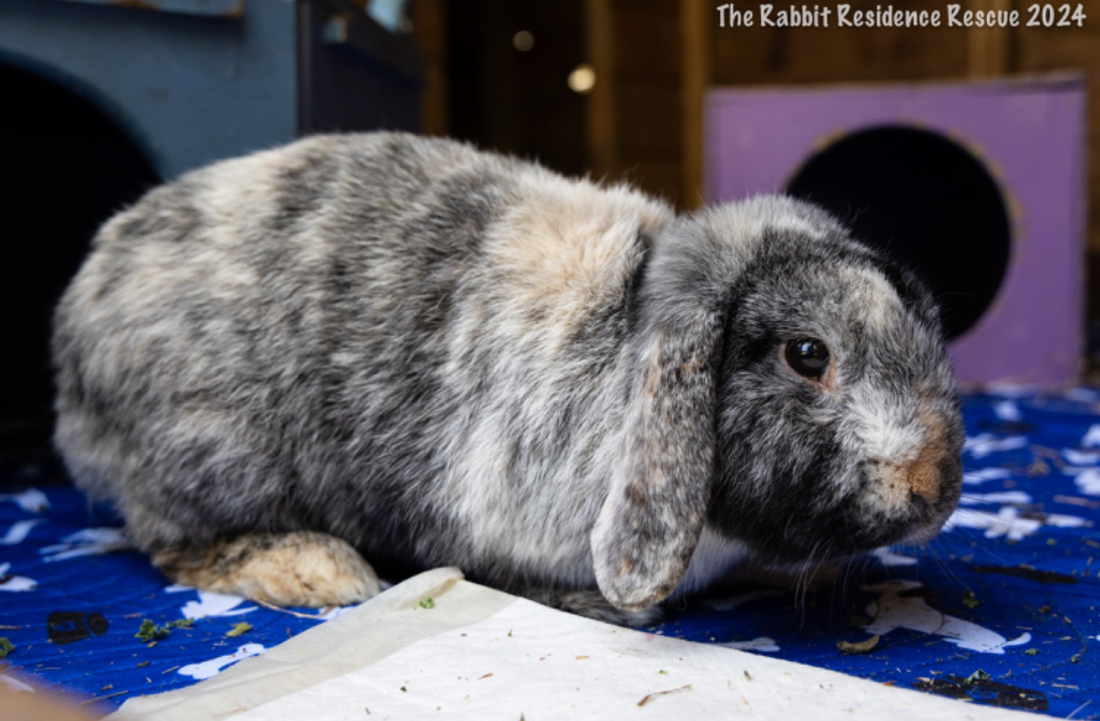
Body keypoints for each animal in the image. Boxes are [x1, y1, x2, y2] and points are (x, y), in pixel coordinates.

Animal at [52, 132, 963, 625]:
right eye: (808, 354)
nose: (937, 489)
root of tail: (76, 320)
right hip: (214, 457)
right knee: (172, 543)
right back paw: (315, 569)